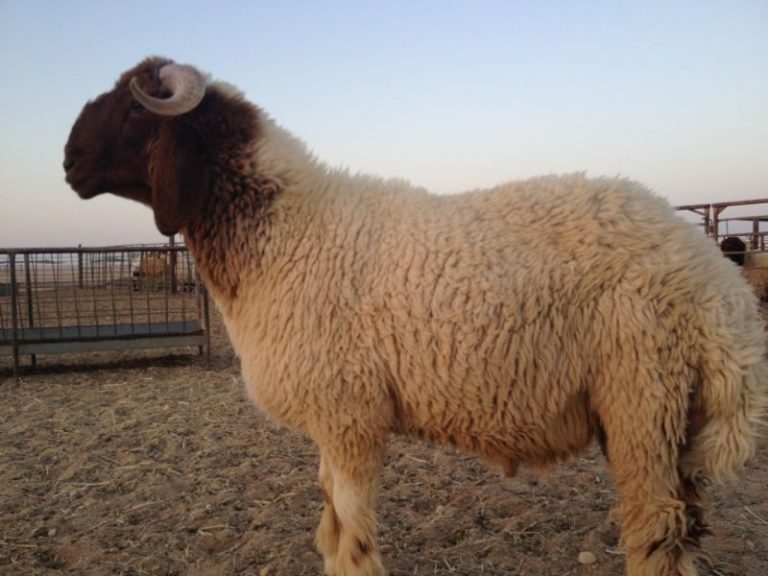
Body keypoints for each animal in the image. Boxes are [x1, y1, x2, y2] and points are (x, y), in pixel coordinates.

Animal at [63, 57, 767, 576]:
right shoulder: (333, 420)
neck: (287, 230)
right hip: (676, 420)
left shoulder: (350, 414)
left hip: (643, 401)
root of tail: (719, 289)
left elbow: (352, 542)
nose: (68, 161)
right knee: (684, 535)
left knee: (654, 535)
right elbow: (330, 525)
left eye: (135, 104)